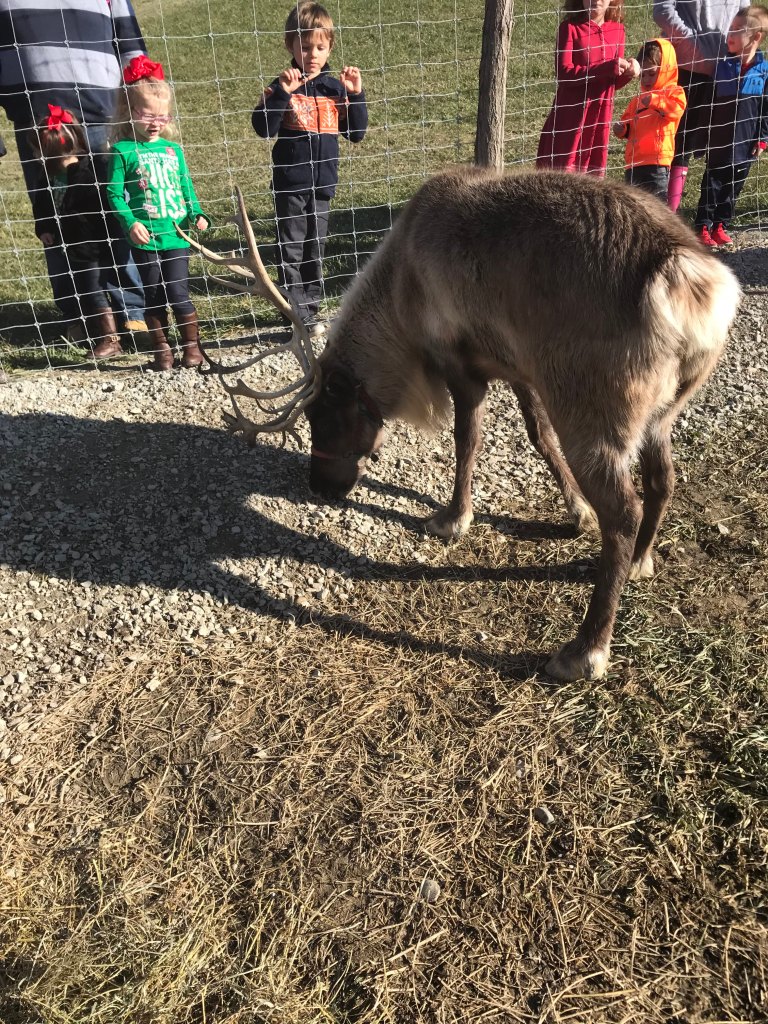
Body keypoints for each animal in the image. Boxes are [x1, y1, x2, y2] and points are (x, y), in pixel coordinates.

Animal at [178, 168, 741, 682]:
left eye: (325, 415)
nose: (319, 486)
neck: (398, 295)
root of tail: (690, 279)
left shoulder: (458, 362)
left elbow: (466, 440)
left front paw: (453, 517)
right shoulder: (518, 366)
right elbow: (538, 435)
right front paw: (574, 509)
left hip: (591, 410)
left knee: (624, 512)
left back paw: (584, 651)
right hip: (660, 413)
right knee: (663, 479)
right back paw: (643, 562)